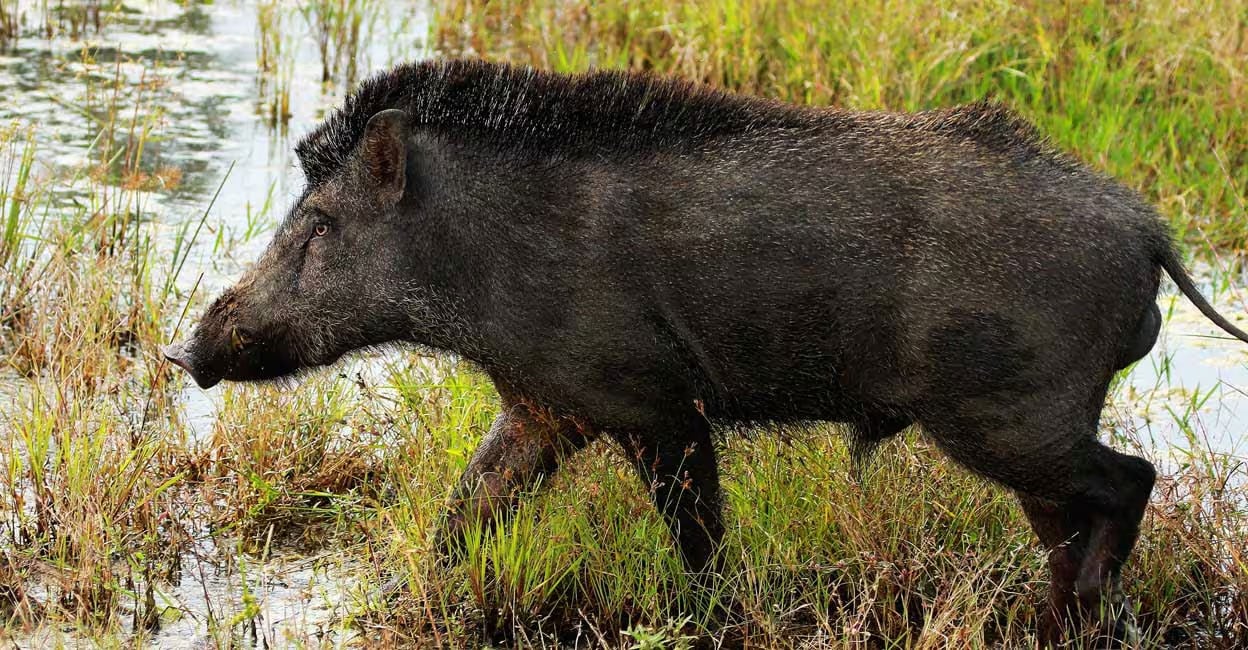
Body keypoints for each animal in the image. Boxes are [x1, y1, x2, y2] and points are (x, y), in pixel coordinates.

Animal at [165, 59, 1248, 645]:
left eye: (318, 224)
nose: (186, 351)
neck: (477, 261)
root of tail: (1149, 232)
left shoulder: (654, 406)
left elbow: (698, 540)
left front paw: (710, 617)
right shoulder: (544, 406)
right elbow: (462, 517)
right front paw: (410, 599)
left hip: (1010, 415)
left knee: (1131, 480)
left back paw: (1080, 611)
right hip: (1024, 426)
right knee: (1073, 520)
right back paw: (1056, 621)